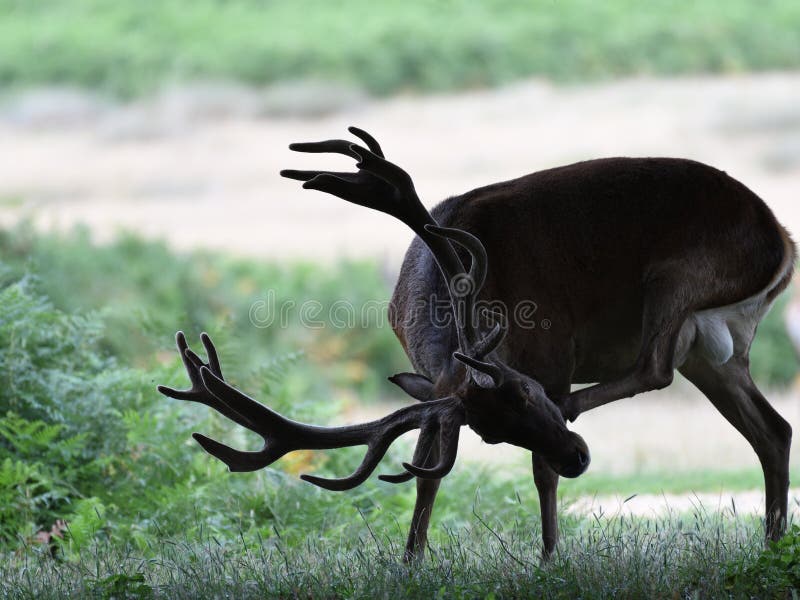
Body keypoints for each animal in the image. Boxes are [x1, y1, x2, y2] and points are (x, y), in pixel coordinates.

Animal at [158, 126, 795, 562]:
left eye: (525, 390)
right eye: (490, 434)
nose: (579, 457)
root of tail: (780, 239)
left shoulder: (553, 350)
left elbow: (538, 472)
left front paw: (549, 558)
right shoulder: (437, 392)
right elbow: (427, 466)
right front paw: (411, 560)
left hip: (682, 275)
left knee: (656, 364)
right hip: (715, 352)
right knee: (772, 429)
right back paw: (772, 542)